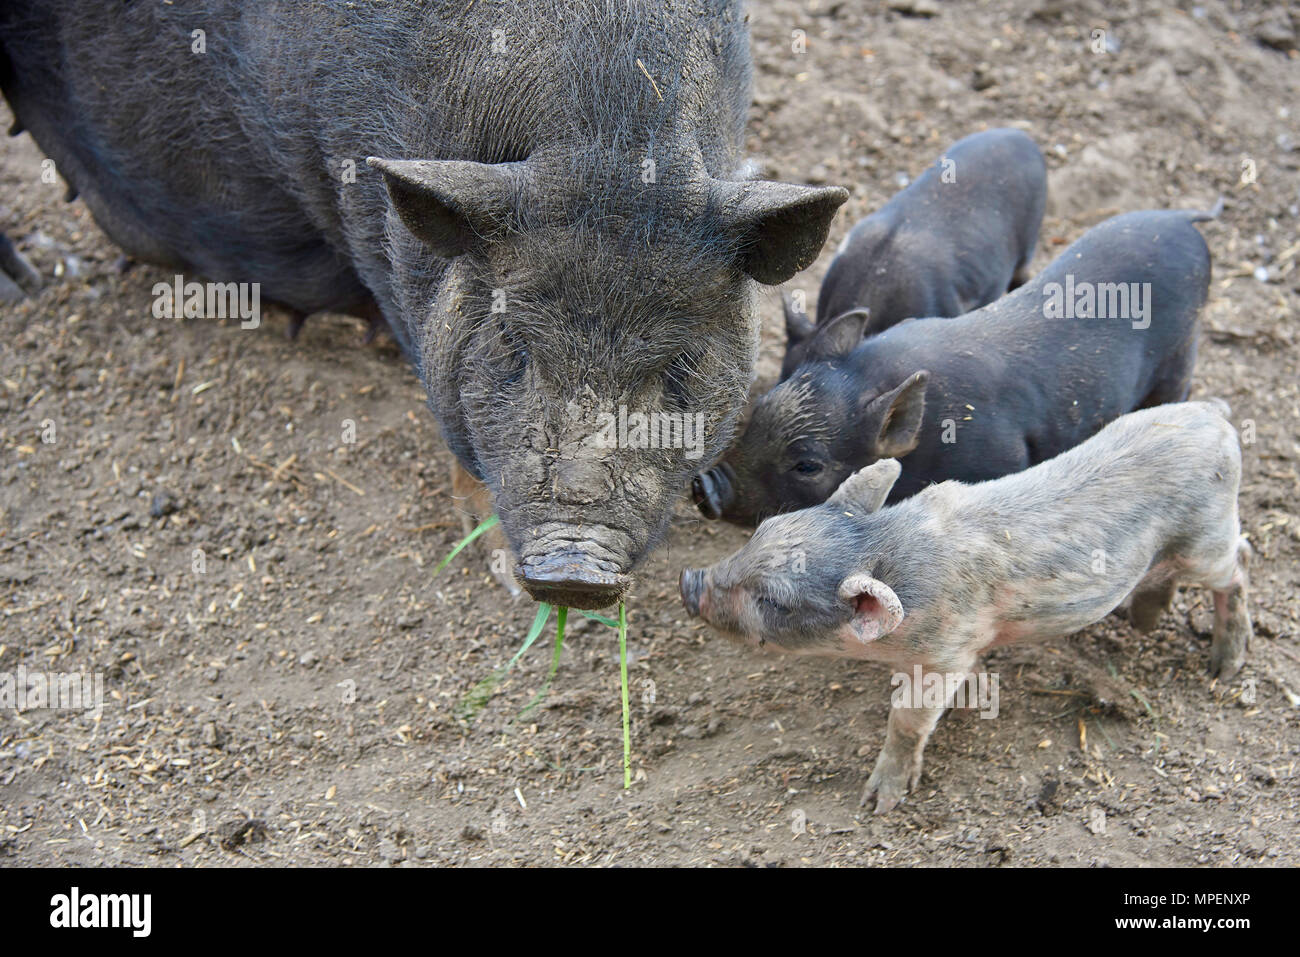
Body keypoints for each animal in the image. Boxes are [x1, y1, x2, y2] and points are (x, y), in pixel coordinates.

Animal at [681, 400, 1253, 812]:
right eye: (762, 532)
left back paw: (1224, 667)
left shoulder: (947, 654)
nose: (690, 580)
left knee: (1240, 566)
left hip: (1208, 541)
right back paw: (1142, 621)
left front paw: (877, 804)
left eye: (774, 600)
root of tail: (1215, 416)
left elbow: (908, 720)